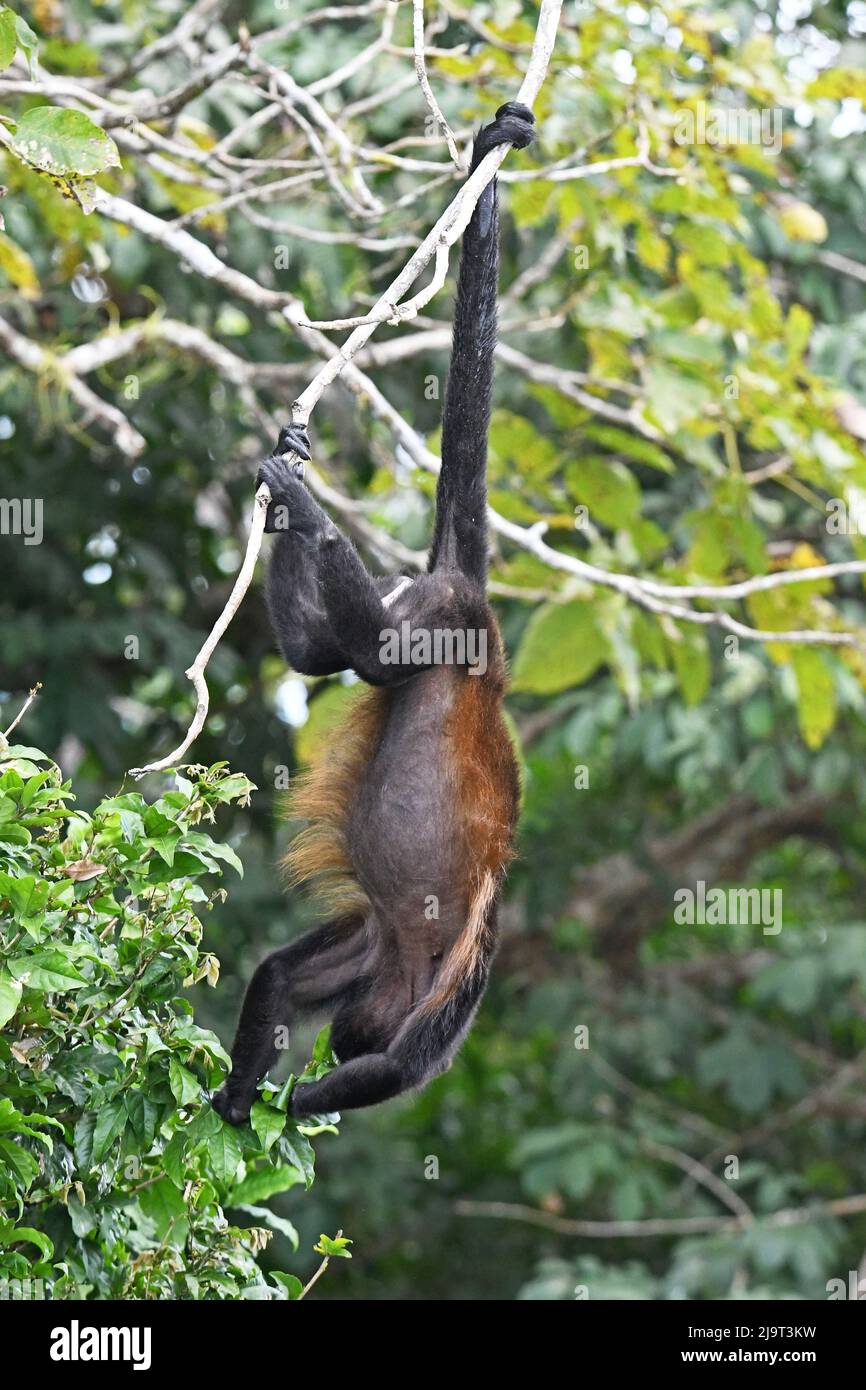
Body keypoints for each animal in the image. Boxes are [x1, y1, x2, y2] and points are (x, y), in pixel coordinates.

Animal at [213, 102, 535, 1124]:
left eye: (347, 1030)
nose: (346, 1035)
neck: (408, 957)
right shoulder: (459, 987)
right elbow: (399, 1073)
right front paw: (300, 1103)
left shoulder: (370, 954)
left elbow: (292, 987)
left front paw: (254, 1098)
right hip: (446, 615)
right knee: (385, 654)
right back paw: (311, 516)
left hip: (422, 595)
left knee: (322, 654)